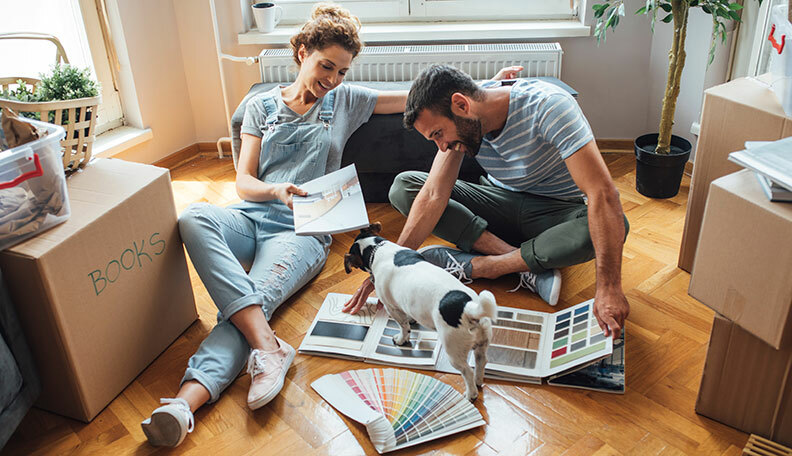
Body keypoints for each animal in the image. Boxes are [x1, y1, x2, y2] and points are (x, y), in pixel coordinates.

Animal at [344, 223, 498, 400]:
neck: (378, 248)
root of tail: (468, 308)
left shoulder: (392, 307)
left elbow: (403, 327)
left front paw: (401, 339)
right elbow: (408, 317)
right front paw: (412, 320)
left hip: (453, 350)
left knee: (467, 372)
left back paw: (470, 394)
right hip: (482, 342)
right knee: (481, 362)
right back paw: (479, 381)